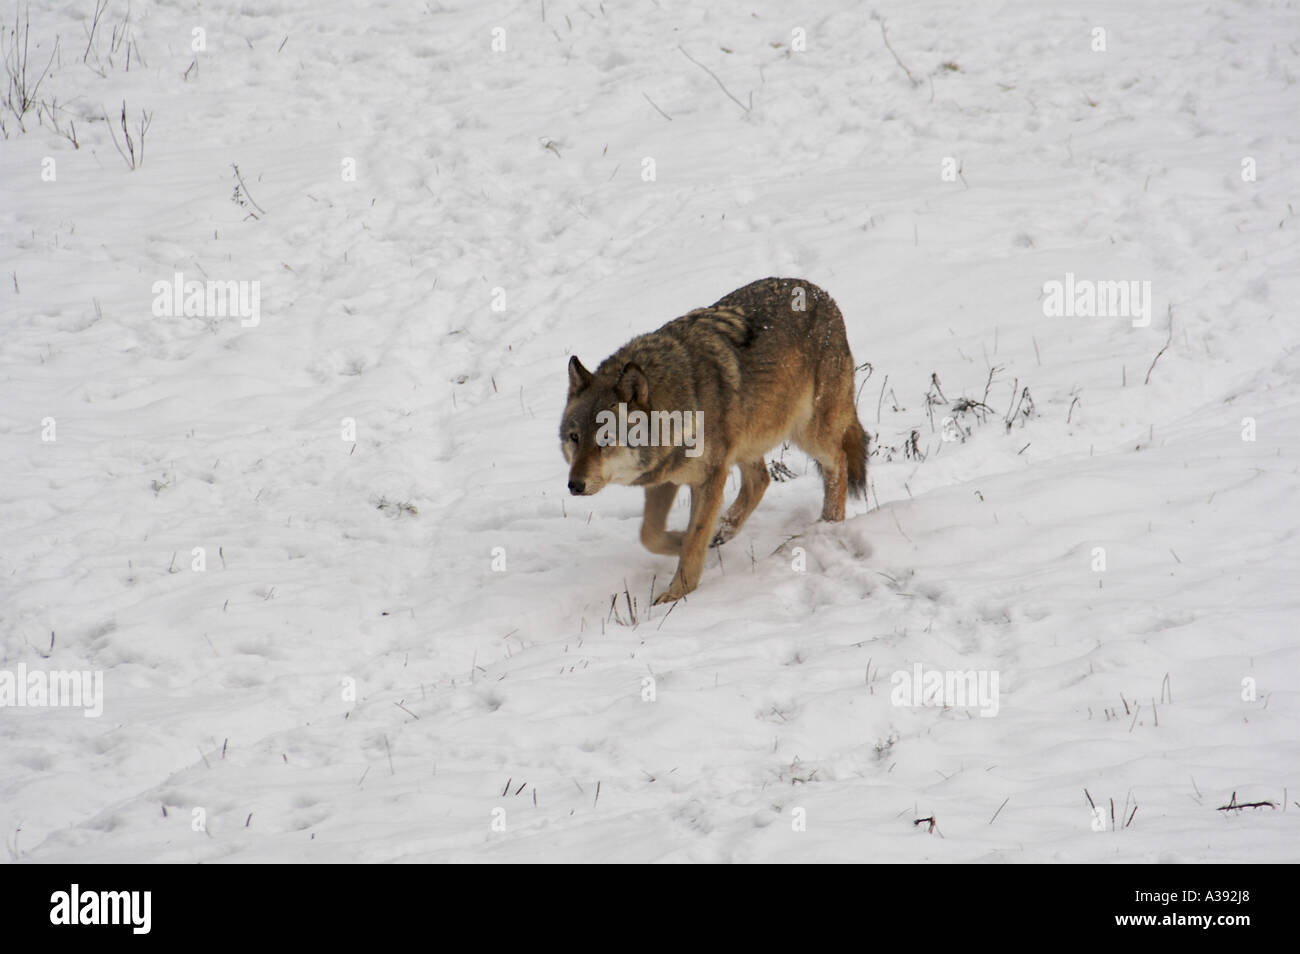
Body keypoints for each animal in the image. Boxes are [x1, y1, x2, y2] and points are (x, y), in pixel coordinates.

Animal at [560, 277, 868, 604]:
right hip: (749, 439)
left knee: (838, 462)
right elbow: (650, 535)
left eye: (606, 439)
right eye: (574, 438)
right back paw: (724, 531)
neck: (679, 399)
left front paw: (676, 594)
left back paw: (829, 522)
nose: (574, 485)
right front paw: (681, 541)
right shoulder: (664, 478)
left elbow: (694, 536)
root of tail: (822, 294)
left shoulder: (709, 477)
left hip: (809, 433)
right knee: (760, 480)